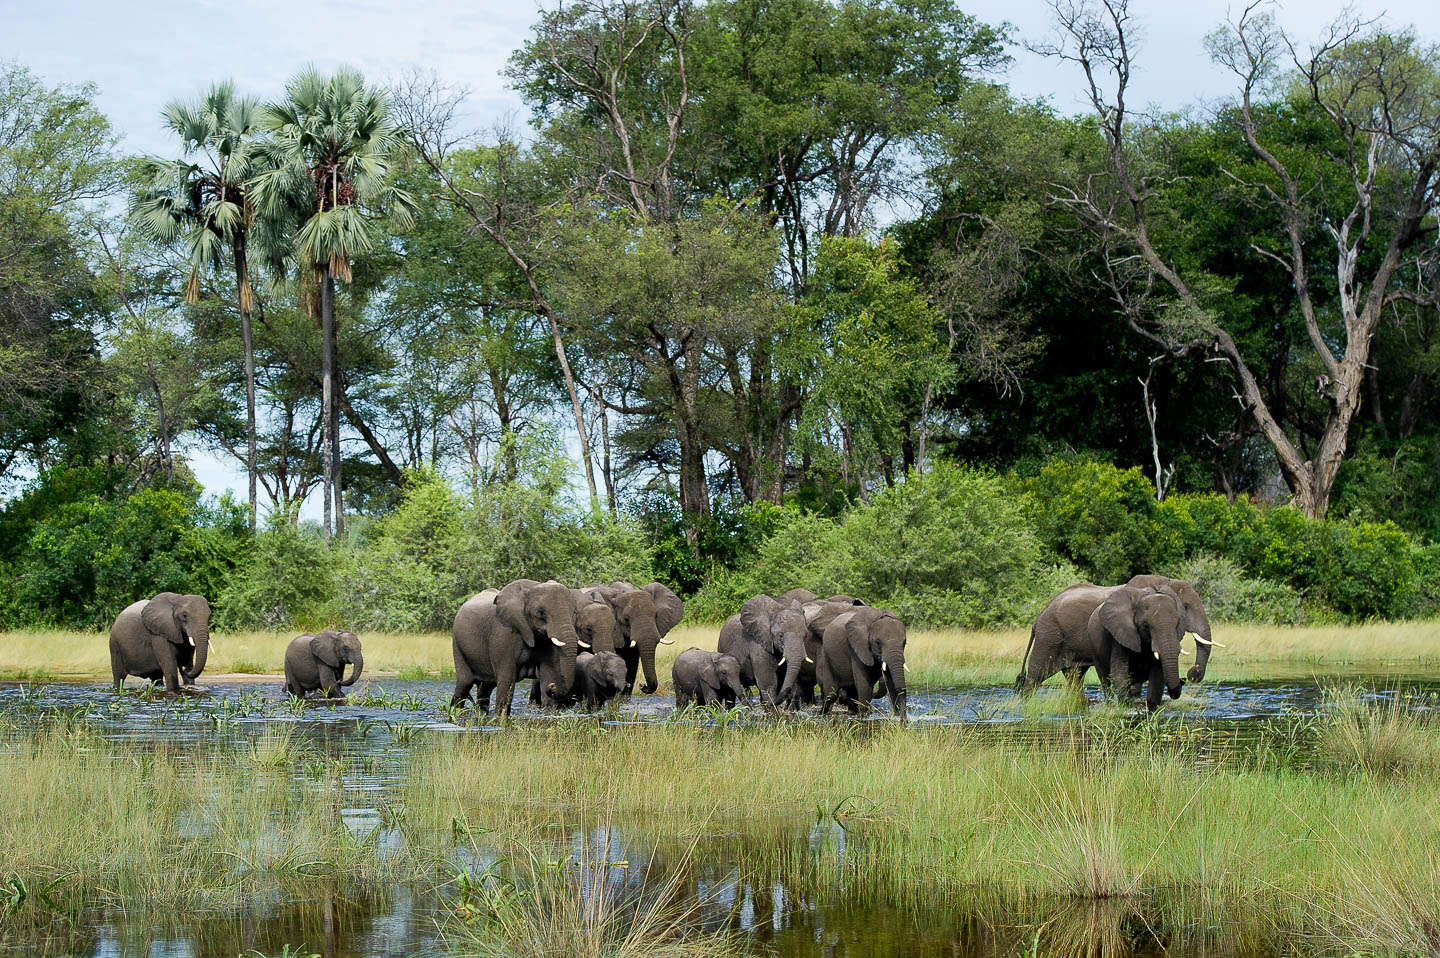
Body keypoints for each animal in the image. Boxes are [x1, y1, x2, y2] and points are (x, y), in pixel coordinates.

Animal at [451, 580, 582, 715]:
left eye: (574, 612)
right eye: (540, 612)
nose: (552, 686)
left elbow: (548, 673)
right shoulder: (504, 635)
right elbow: (507, 681)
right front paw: (501, 718)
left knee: (485, 689)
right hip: (457, 643)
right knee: (464, 684)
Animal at [1017, 575, 1219, 695]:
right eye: (1186, 606)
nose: (1192, 674)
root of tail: (1039, 616)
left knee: (1075, 678)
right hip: (1049, 635)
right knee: (1035, 676)